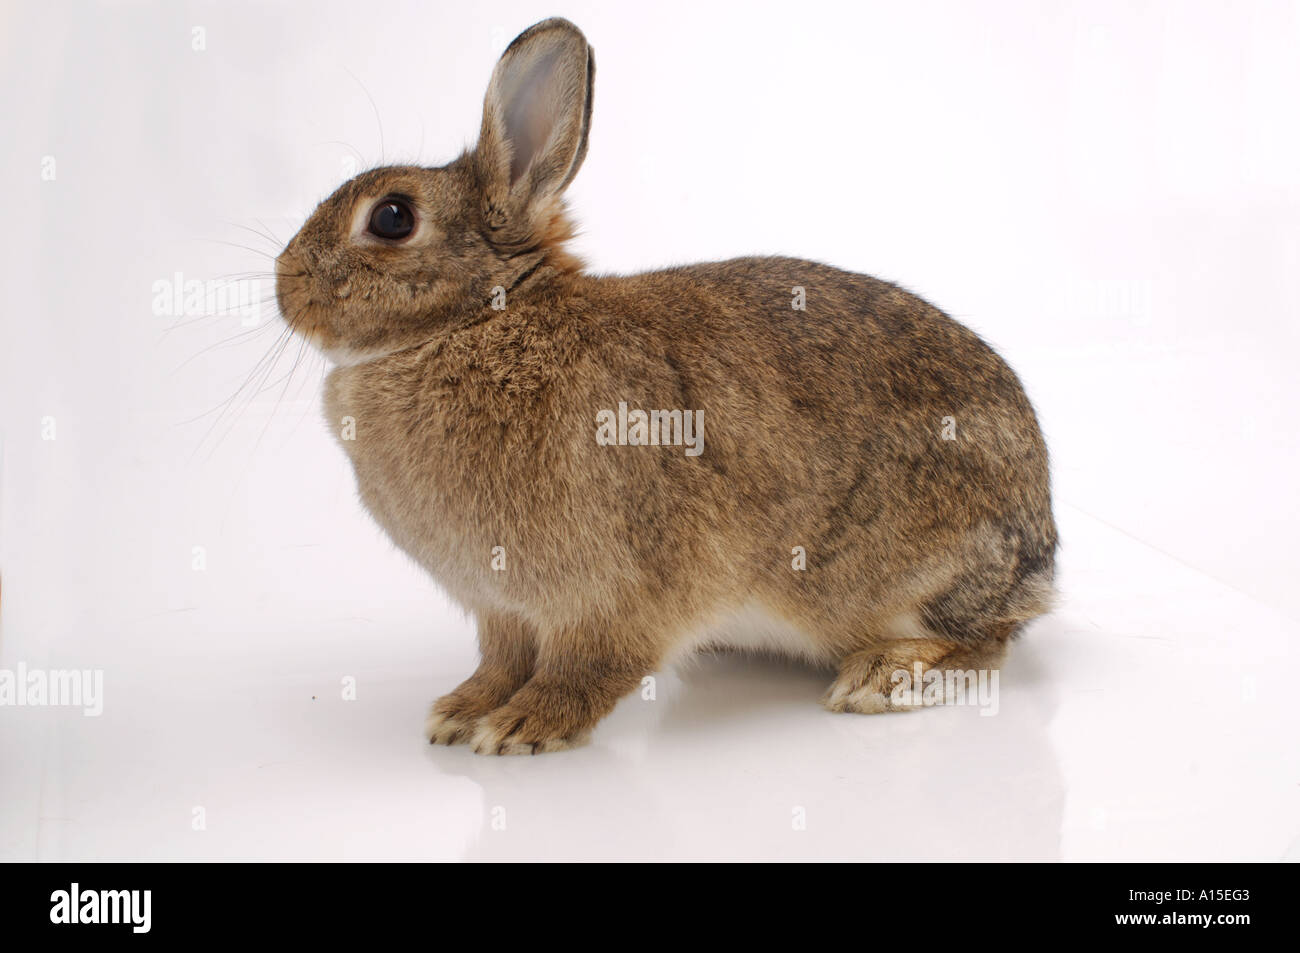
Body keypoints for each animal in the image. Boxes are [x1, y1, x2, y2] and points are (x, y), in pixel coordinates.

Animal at [274, 18, 1057, 755]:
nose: (284, 286)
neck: (481, 321)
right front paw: (461, 712)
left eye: (392, 217)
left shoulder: (615, 592)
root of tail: (1041, 547)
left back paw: (883, 676)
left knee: (983, 642)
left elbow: (587, 666)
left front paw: (526, 725)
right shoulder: (501, 609)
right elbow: (499, 662)